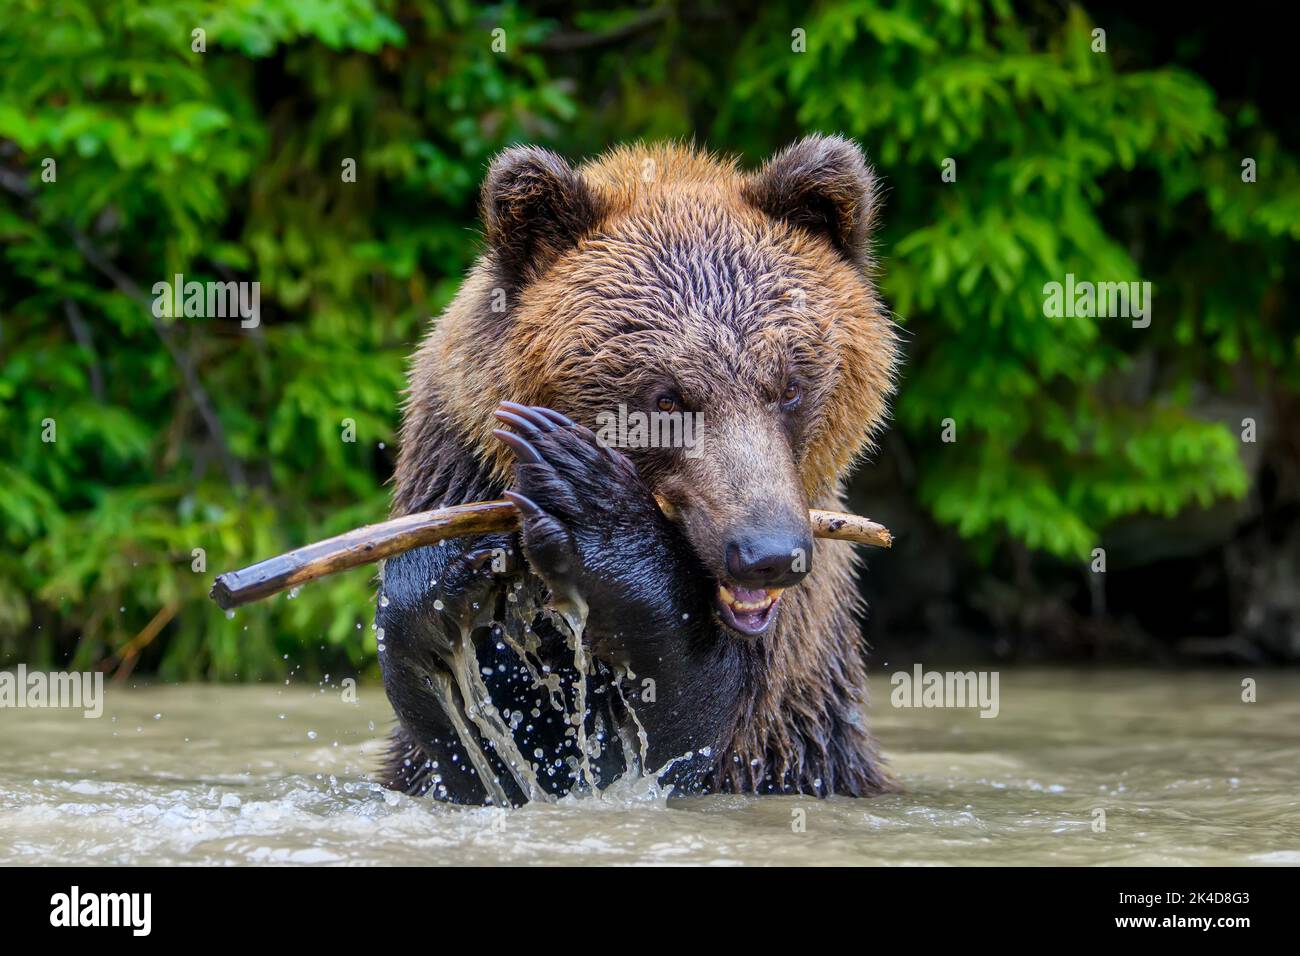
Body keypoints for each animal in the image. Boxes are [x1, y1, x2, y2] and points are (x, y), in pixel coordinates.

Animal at [375, 136, 900, 805]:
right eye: (668, 398)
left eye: (789, 387)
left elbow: (686, 730)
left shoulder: (787, 720)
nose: (768, 553)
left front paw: (590, 503)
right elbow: (480, 744)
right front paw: (449, 569)